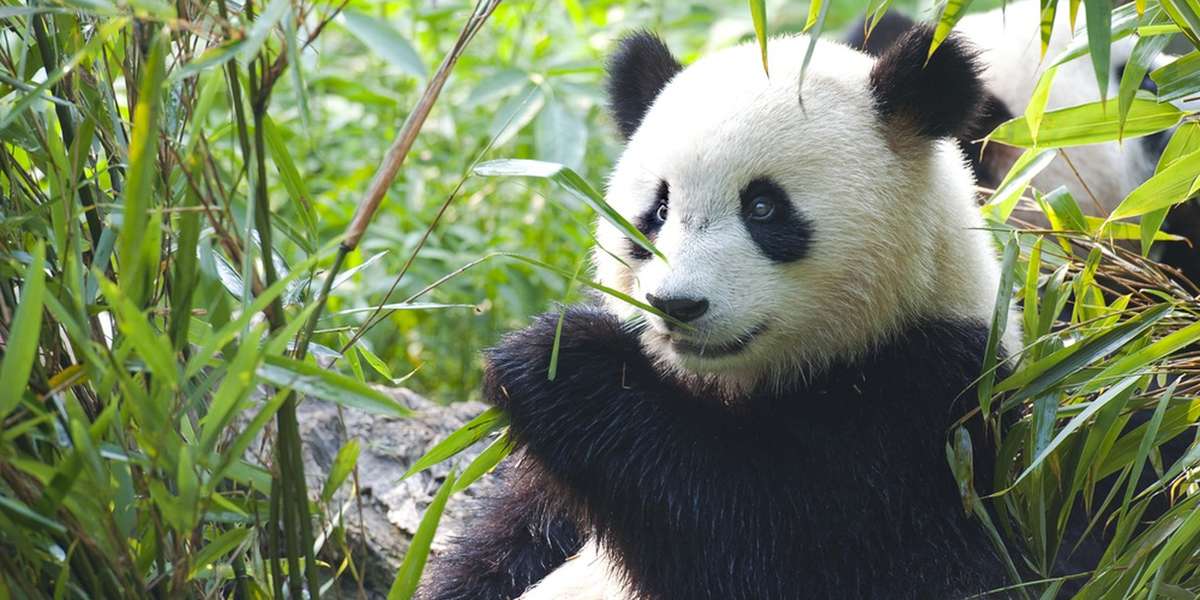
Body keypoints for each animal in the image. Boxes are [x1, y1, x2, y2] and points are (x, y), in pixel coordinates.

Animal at [420, 25, 1018, 600]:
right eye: (658, 210)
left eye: (763, 207)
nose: (677, 305)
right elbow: (507, 546)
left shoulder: (929, 412)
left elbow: (772, 543)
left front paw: (563, 359)